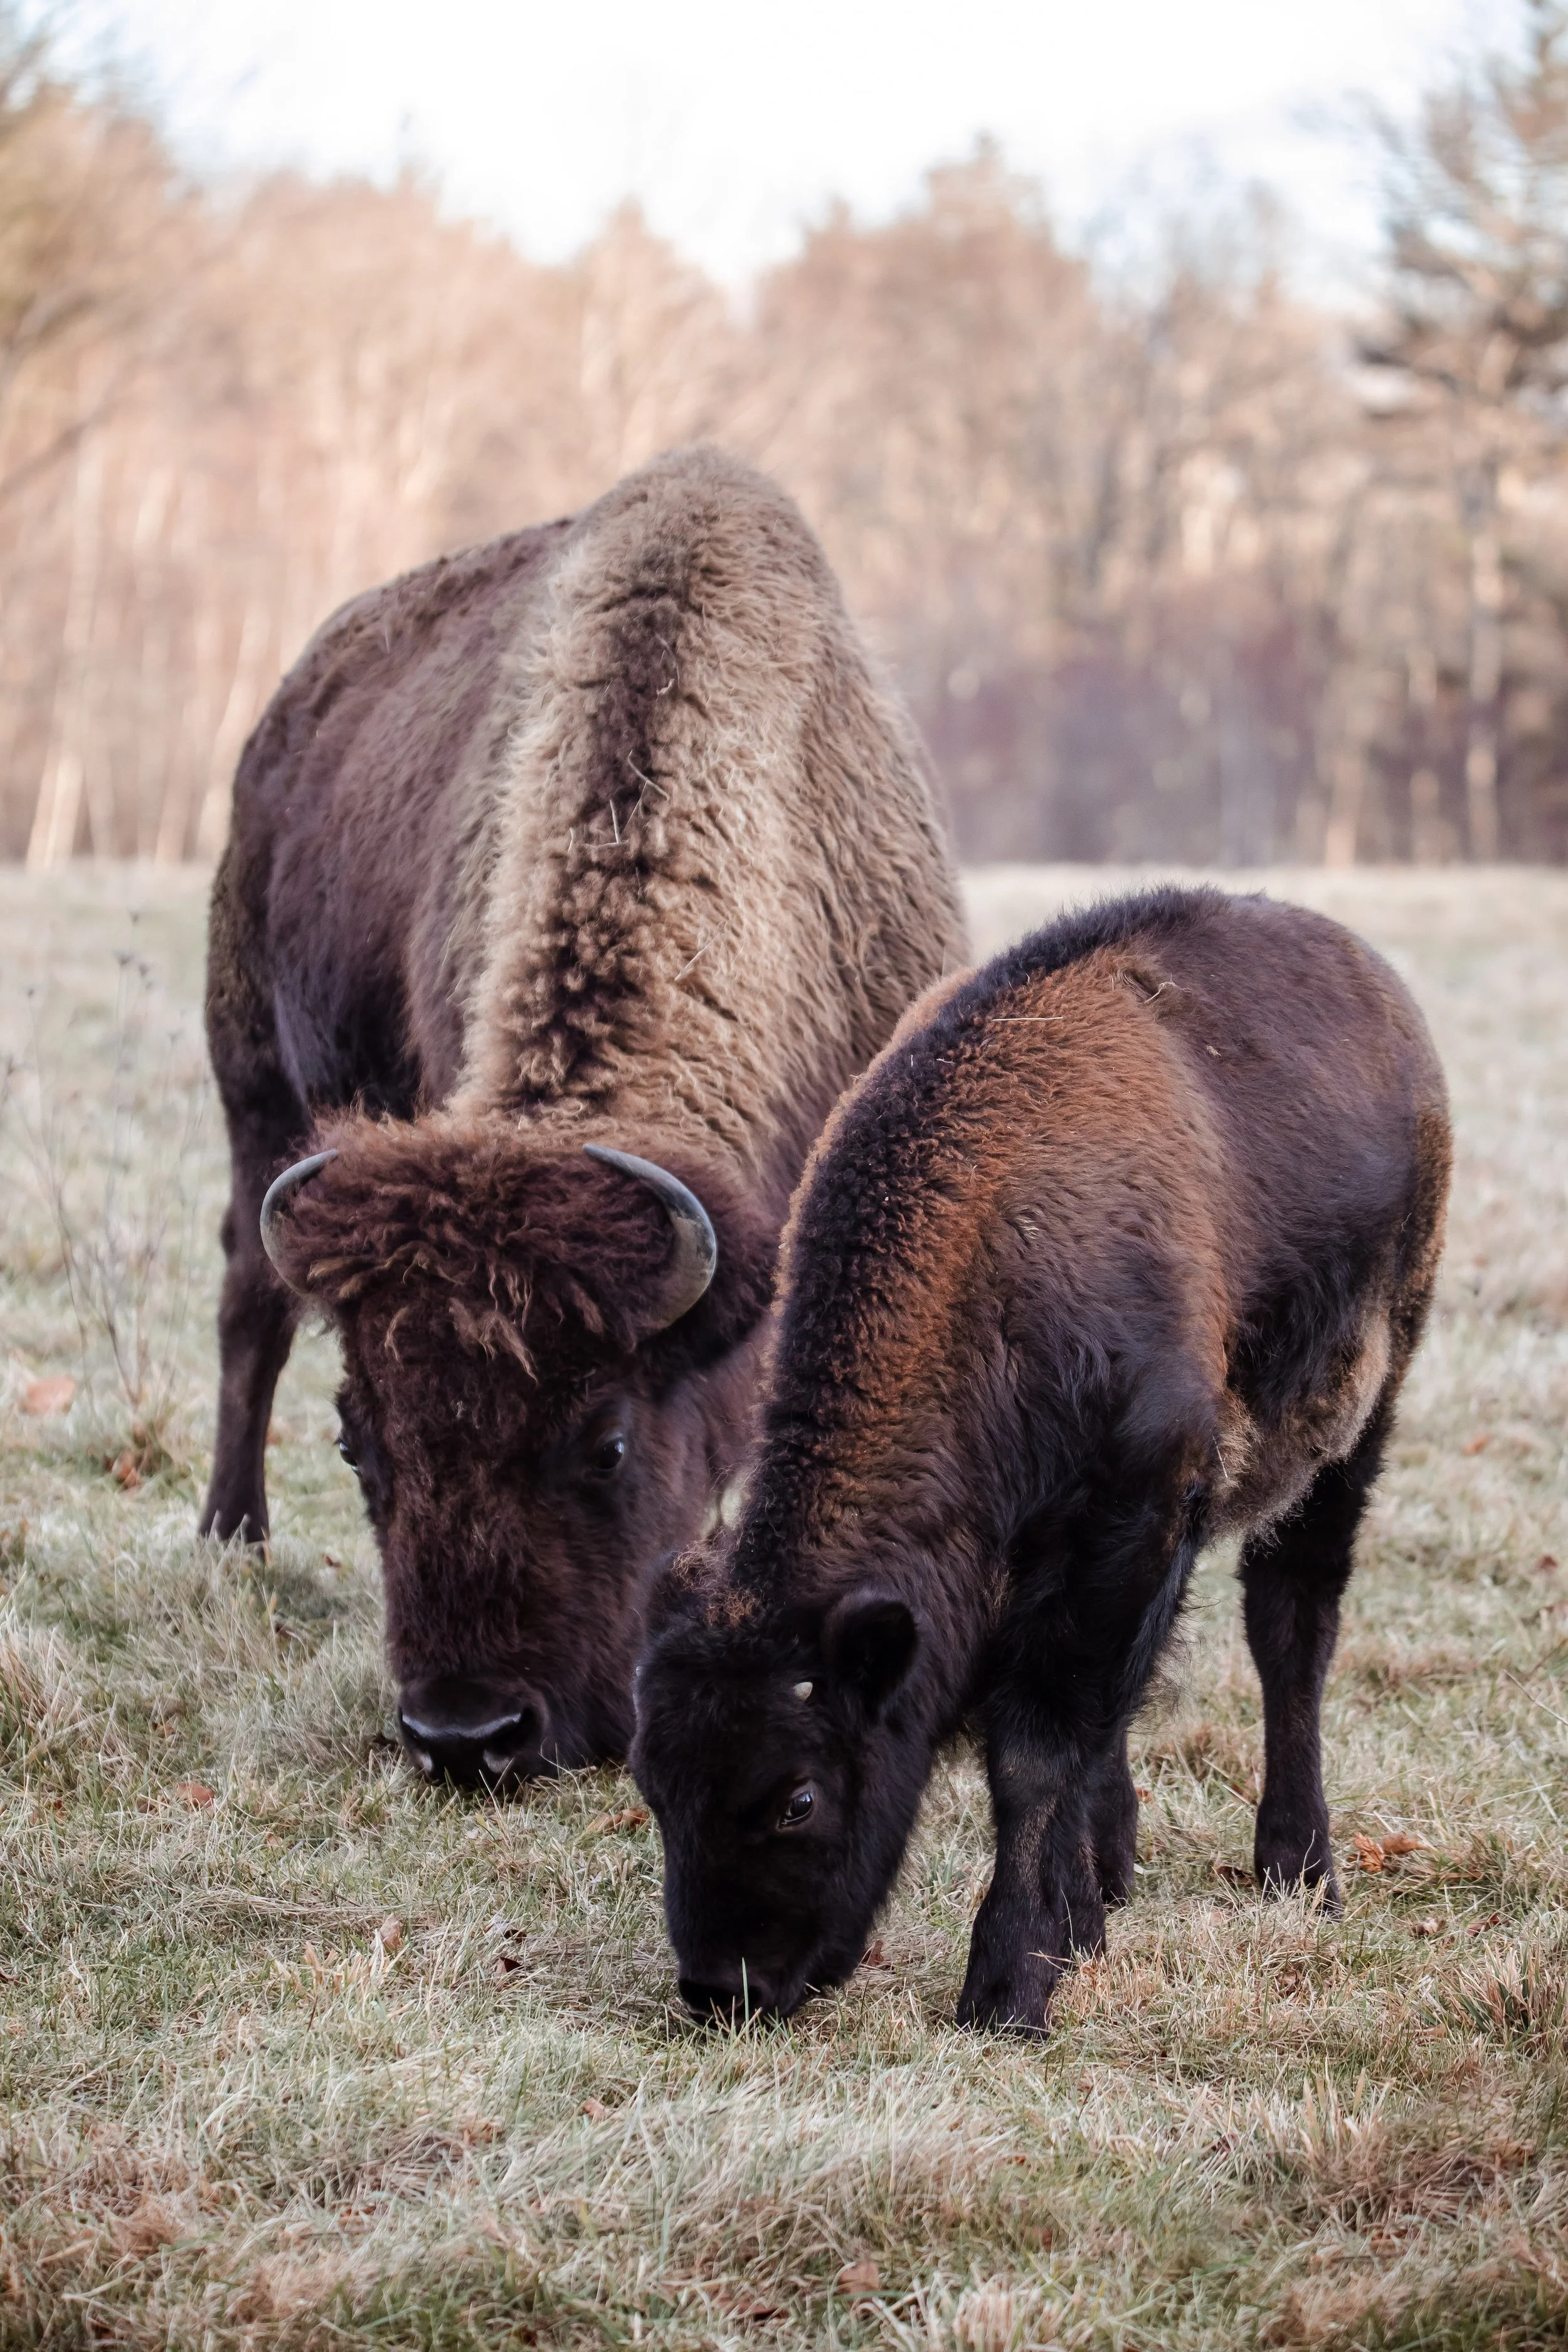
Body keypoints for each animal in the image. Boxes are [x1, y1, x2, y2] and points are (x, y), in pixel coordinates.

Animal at [200, 445, 967, 1784]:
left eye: (604, 1443)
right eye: (358, 1443)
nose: (467, 1735)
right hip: (253, 1090)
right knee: (251, 1306)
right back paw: (229, 1538)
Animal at [632, 886, 1451, 2034]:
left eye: (797, 1795)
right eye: (651, 1783)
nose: (723, 1988)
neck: (989, 1266)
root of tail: (1376, 989)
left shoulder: (1127, 1514)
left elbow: (1035, 1750)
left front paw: (1008, 1985)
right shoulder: (1112, 1551)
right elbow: (1078, 1728)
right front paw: (1076, 1922)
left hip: (1361, 1408)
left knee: (1294, 1622)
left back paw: (1300, 1869)